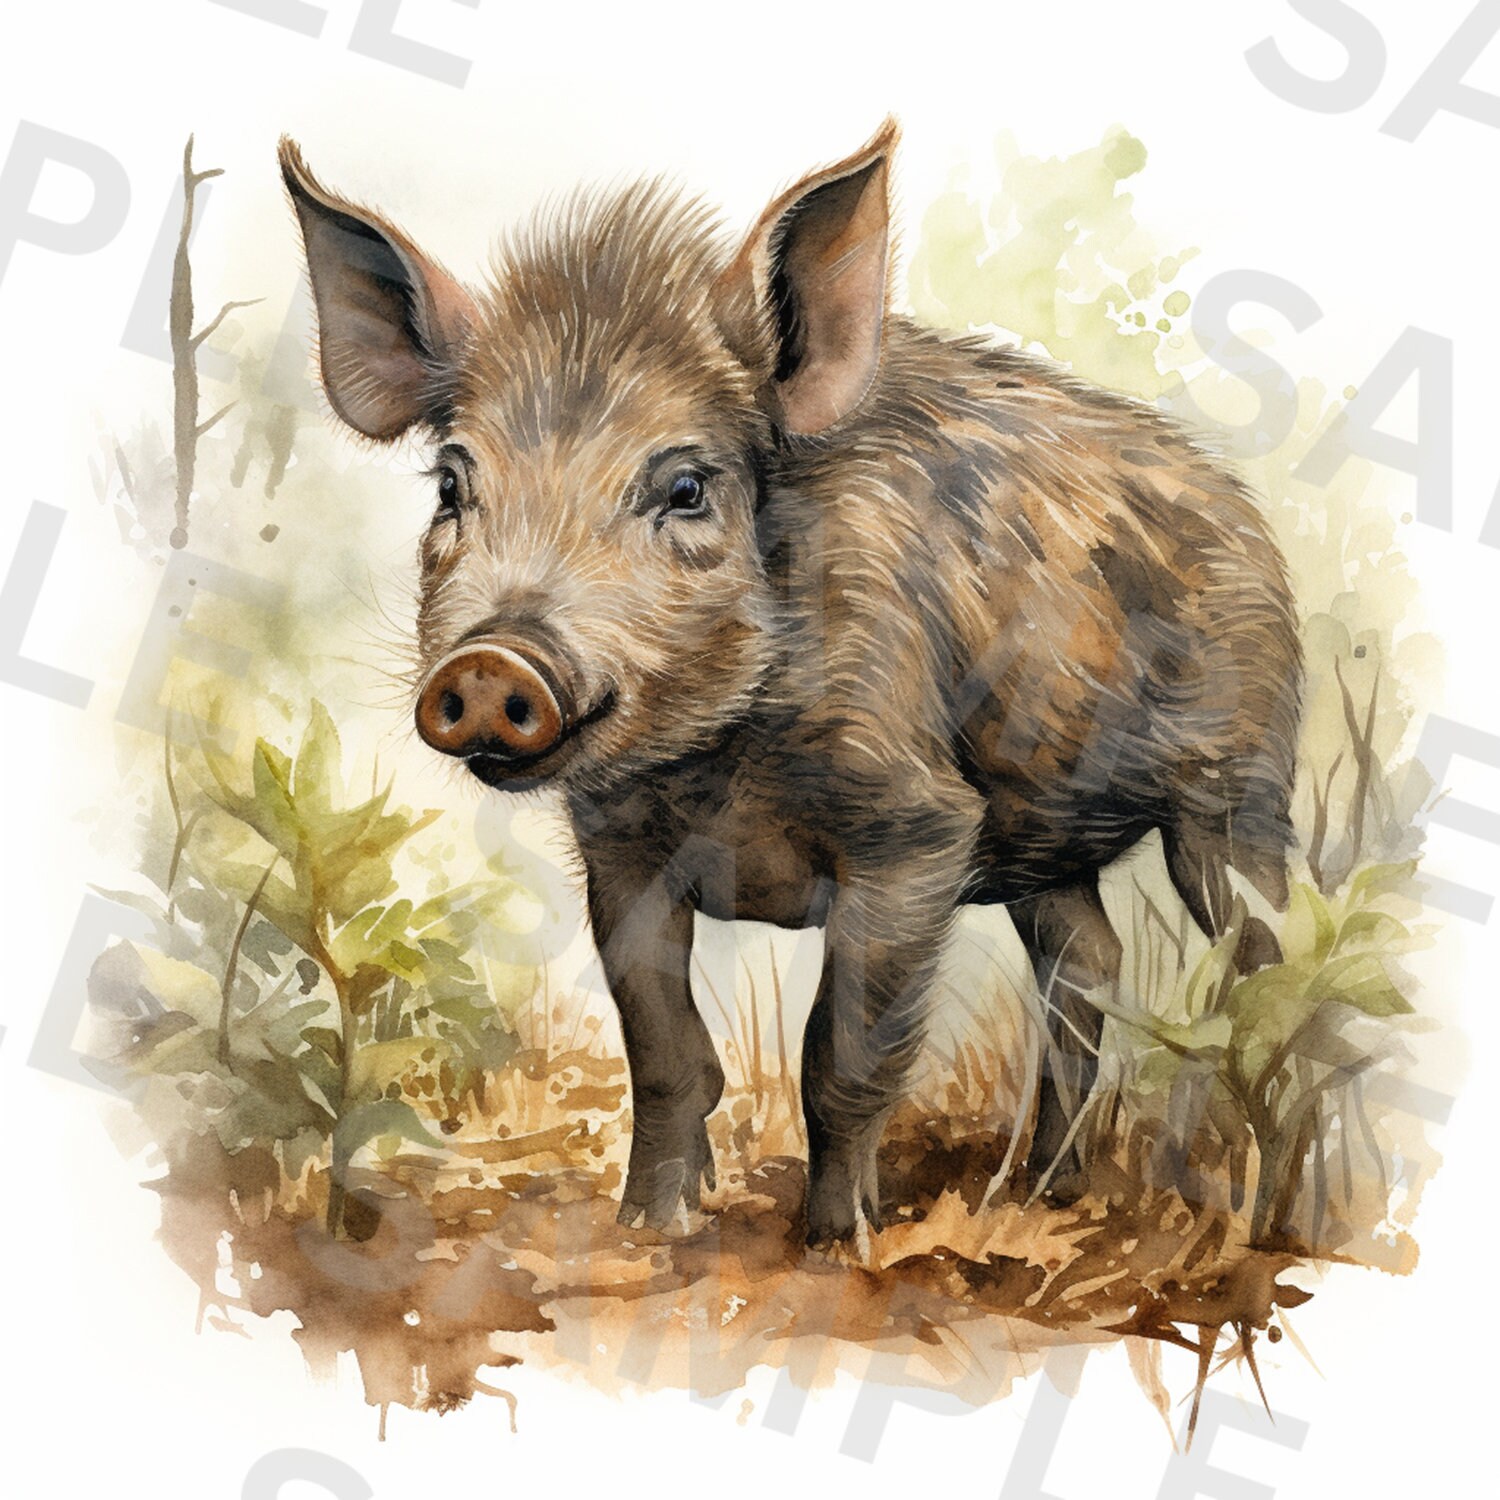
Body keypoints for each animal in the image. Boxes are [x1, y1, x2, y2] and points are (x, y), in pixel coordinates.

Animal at [279, 120, 1301, 1248]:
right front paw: (651, 1229)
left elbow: (842, 1060)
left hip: (1241, 785)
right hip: (1047, 839)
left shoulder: (919, 827)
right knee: (1089, 962)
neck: (718, 770)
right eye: (453, 485)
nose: (493, 662)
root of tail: (1245, 510)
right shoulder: (619, 849)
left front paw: (836, 1245)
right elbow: (666, 1054)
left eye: (686, 487)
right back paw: (1041, 1198)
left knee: (1270, 960)